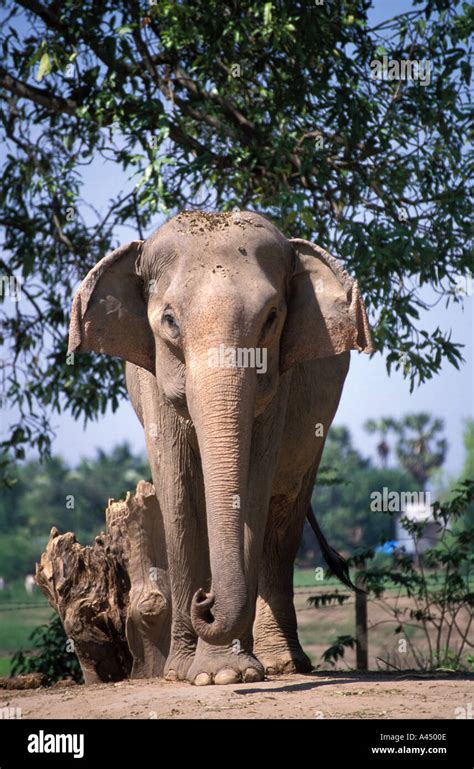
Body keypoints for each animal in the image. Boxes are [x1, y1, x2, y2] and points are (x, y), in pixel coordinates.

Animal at [68, 210, 373, 685]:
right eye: (170, 321)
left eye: (271, 317)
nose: (205, 601)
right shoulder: (153, 380)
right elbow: (177, 492)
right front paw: (188, 674)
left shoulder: (280, 381)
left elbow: (253, 487)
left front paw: (229, 673)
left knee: (283, 517)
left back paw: (284, 664)